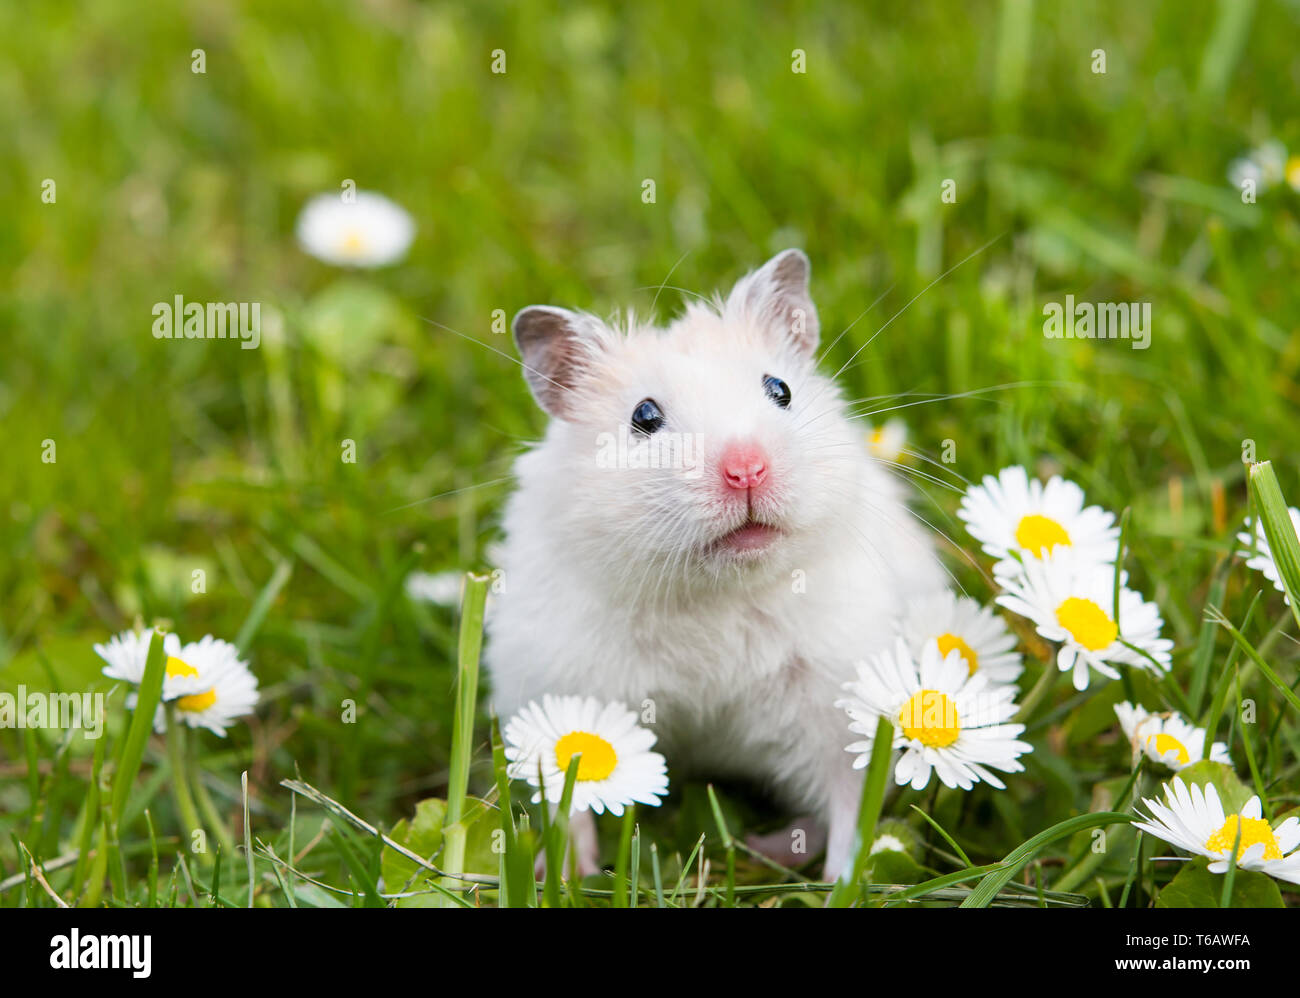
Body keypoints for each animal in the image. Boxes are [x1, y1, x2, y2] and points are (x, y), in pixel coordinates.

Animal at [486, 253, 946, 878]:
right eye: (644, 416)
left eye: (780, 389)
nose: (747, 469)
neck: (714, 592)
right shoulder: (558, 686)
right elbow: (569, 794)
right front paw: (568, 873)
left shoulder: (837, 701)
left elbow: (851, 801)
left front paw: (843, 883)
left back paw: (763, 847)